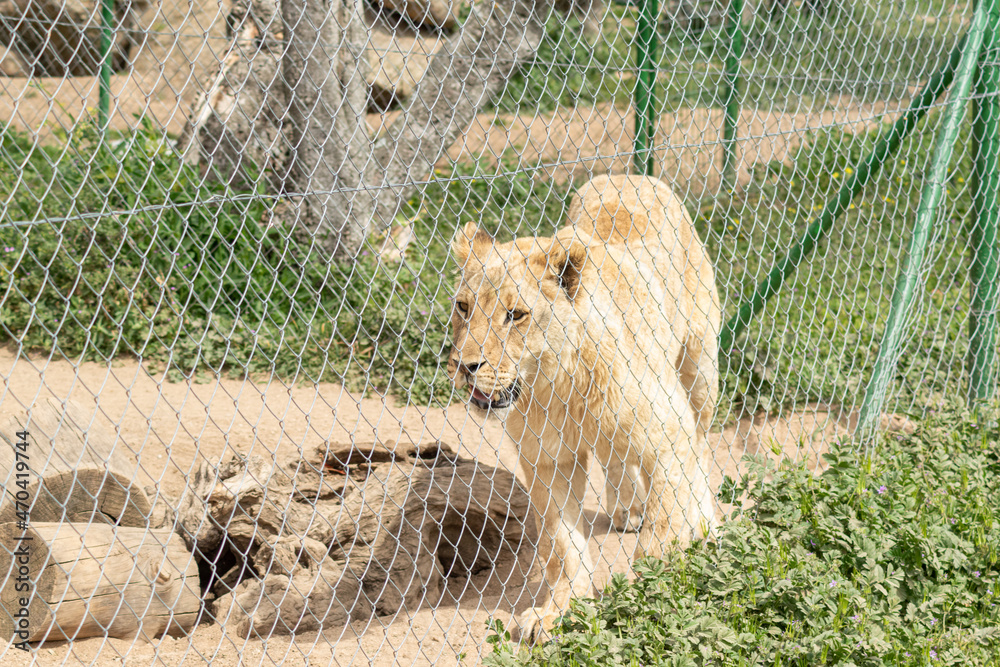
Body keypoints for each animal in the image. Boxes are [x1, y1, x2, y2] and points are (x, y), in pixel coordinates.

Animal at [448, 174, 721, 638]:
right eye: (463, 307)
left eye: (515, 315)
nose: (466, 367)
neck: (558, 385)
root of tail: (633, 175)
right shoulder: (547, 461)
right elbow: (563, 545)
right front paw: (558, 611)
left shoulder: (669, 432)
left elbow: (660, 534)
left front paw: (652, 601)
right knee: (617, 458)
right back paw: (627, 509)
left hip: (699, 367)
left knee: (701, 448)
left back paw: (704, 523)